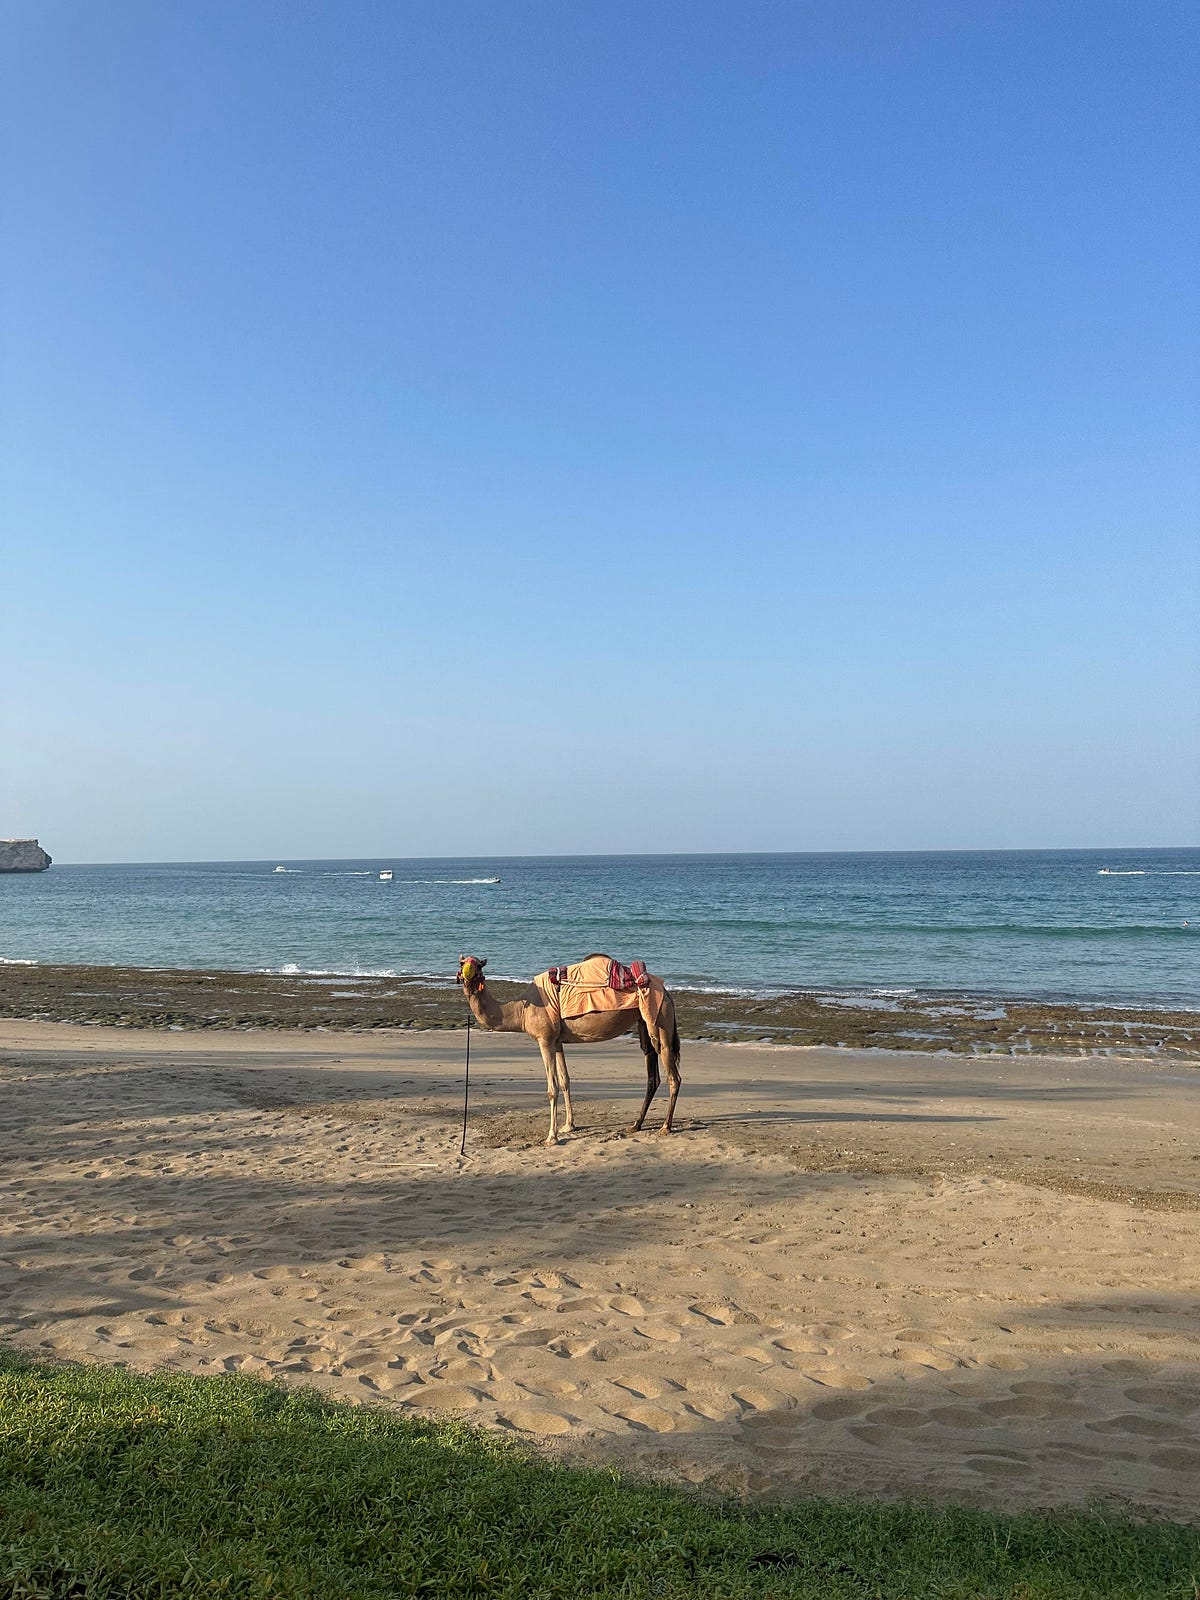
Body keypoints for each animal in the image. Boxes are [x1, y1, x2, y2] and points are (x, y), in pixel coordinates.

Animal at [456, 955, 682, 1145]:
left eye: (478, 966)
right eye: (462, 963)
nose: (467, 977)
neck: (520, 1011)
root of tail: (666, 993)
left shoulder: (544, 1039)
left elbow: (552, 1088)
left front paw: (551, 1137)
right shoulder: (556, 1041)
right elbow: (565, 1081)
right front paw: (568, 1126)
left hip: (660, 1018)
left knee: (673, 1075)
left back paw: (665, 1127)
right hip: (644, 1020)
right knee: (652, 1071)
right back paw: (636, 1125)